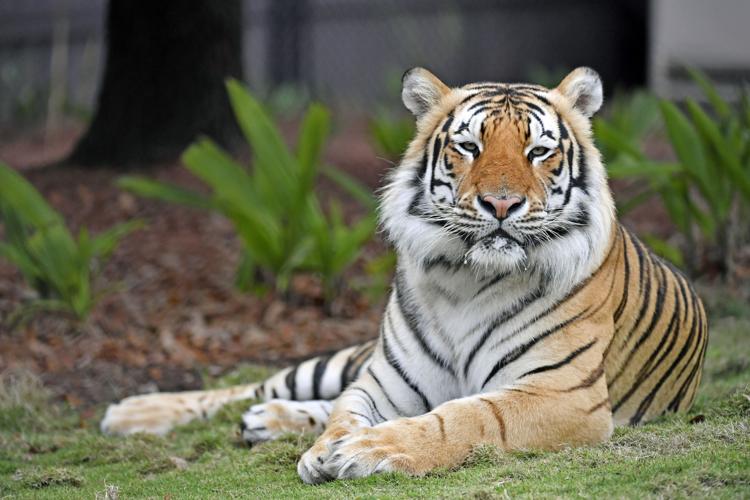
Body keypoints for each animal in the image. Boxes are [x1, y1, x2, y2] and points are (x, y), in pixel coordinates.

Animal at [101, 67, 708, 485]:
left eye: (539, 152)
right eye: (469, 146)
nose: (501, 204)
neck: (469, 281)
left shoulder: (561, 394)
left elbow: (465, 416)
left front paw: (370, 450)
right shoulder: (381, 381)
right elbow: (344, 413)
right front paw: (326, 450)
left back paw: (264, 421)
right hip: (348, 358)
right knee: (257, 386)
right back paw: (139, 411)